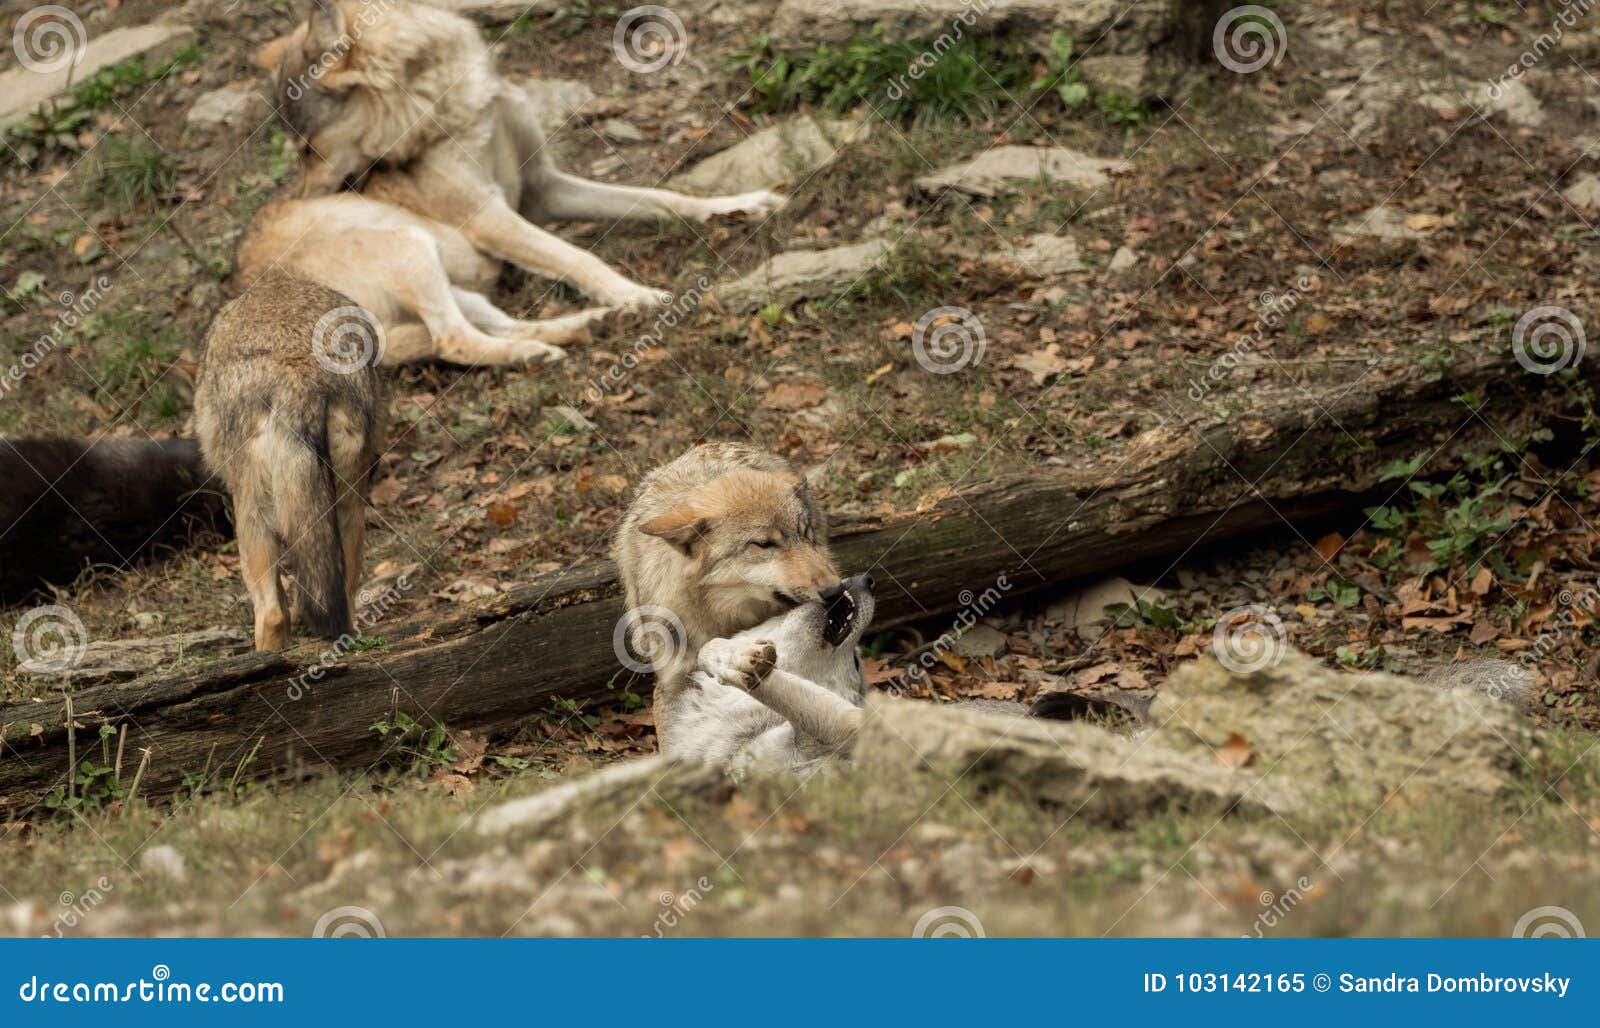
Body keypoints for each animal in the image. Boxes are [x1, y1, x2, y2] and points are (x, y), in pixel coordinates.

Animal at [242, 0, 783, 366]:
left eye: (309, 149)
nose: (301, 199)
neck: (447, 105)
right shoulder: (491, 216)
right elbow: (579, 256)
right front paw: (635, 294)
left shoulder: (544, 187)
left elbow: (663, 197)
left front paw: (741, 205)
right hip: (409, 246)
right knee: (452, 341)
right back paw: (537, 351)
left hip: (451, 280)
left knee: (491, 326)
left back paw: (577, 328)